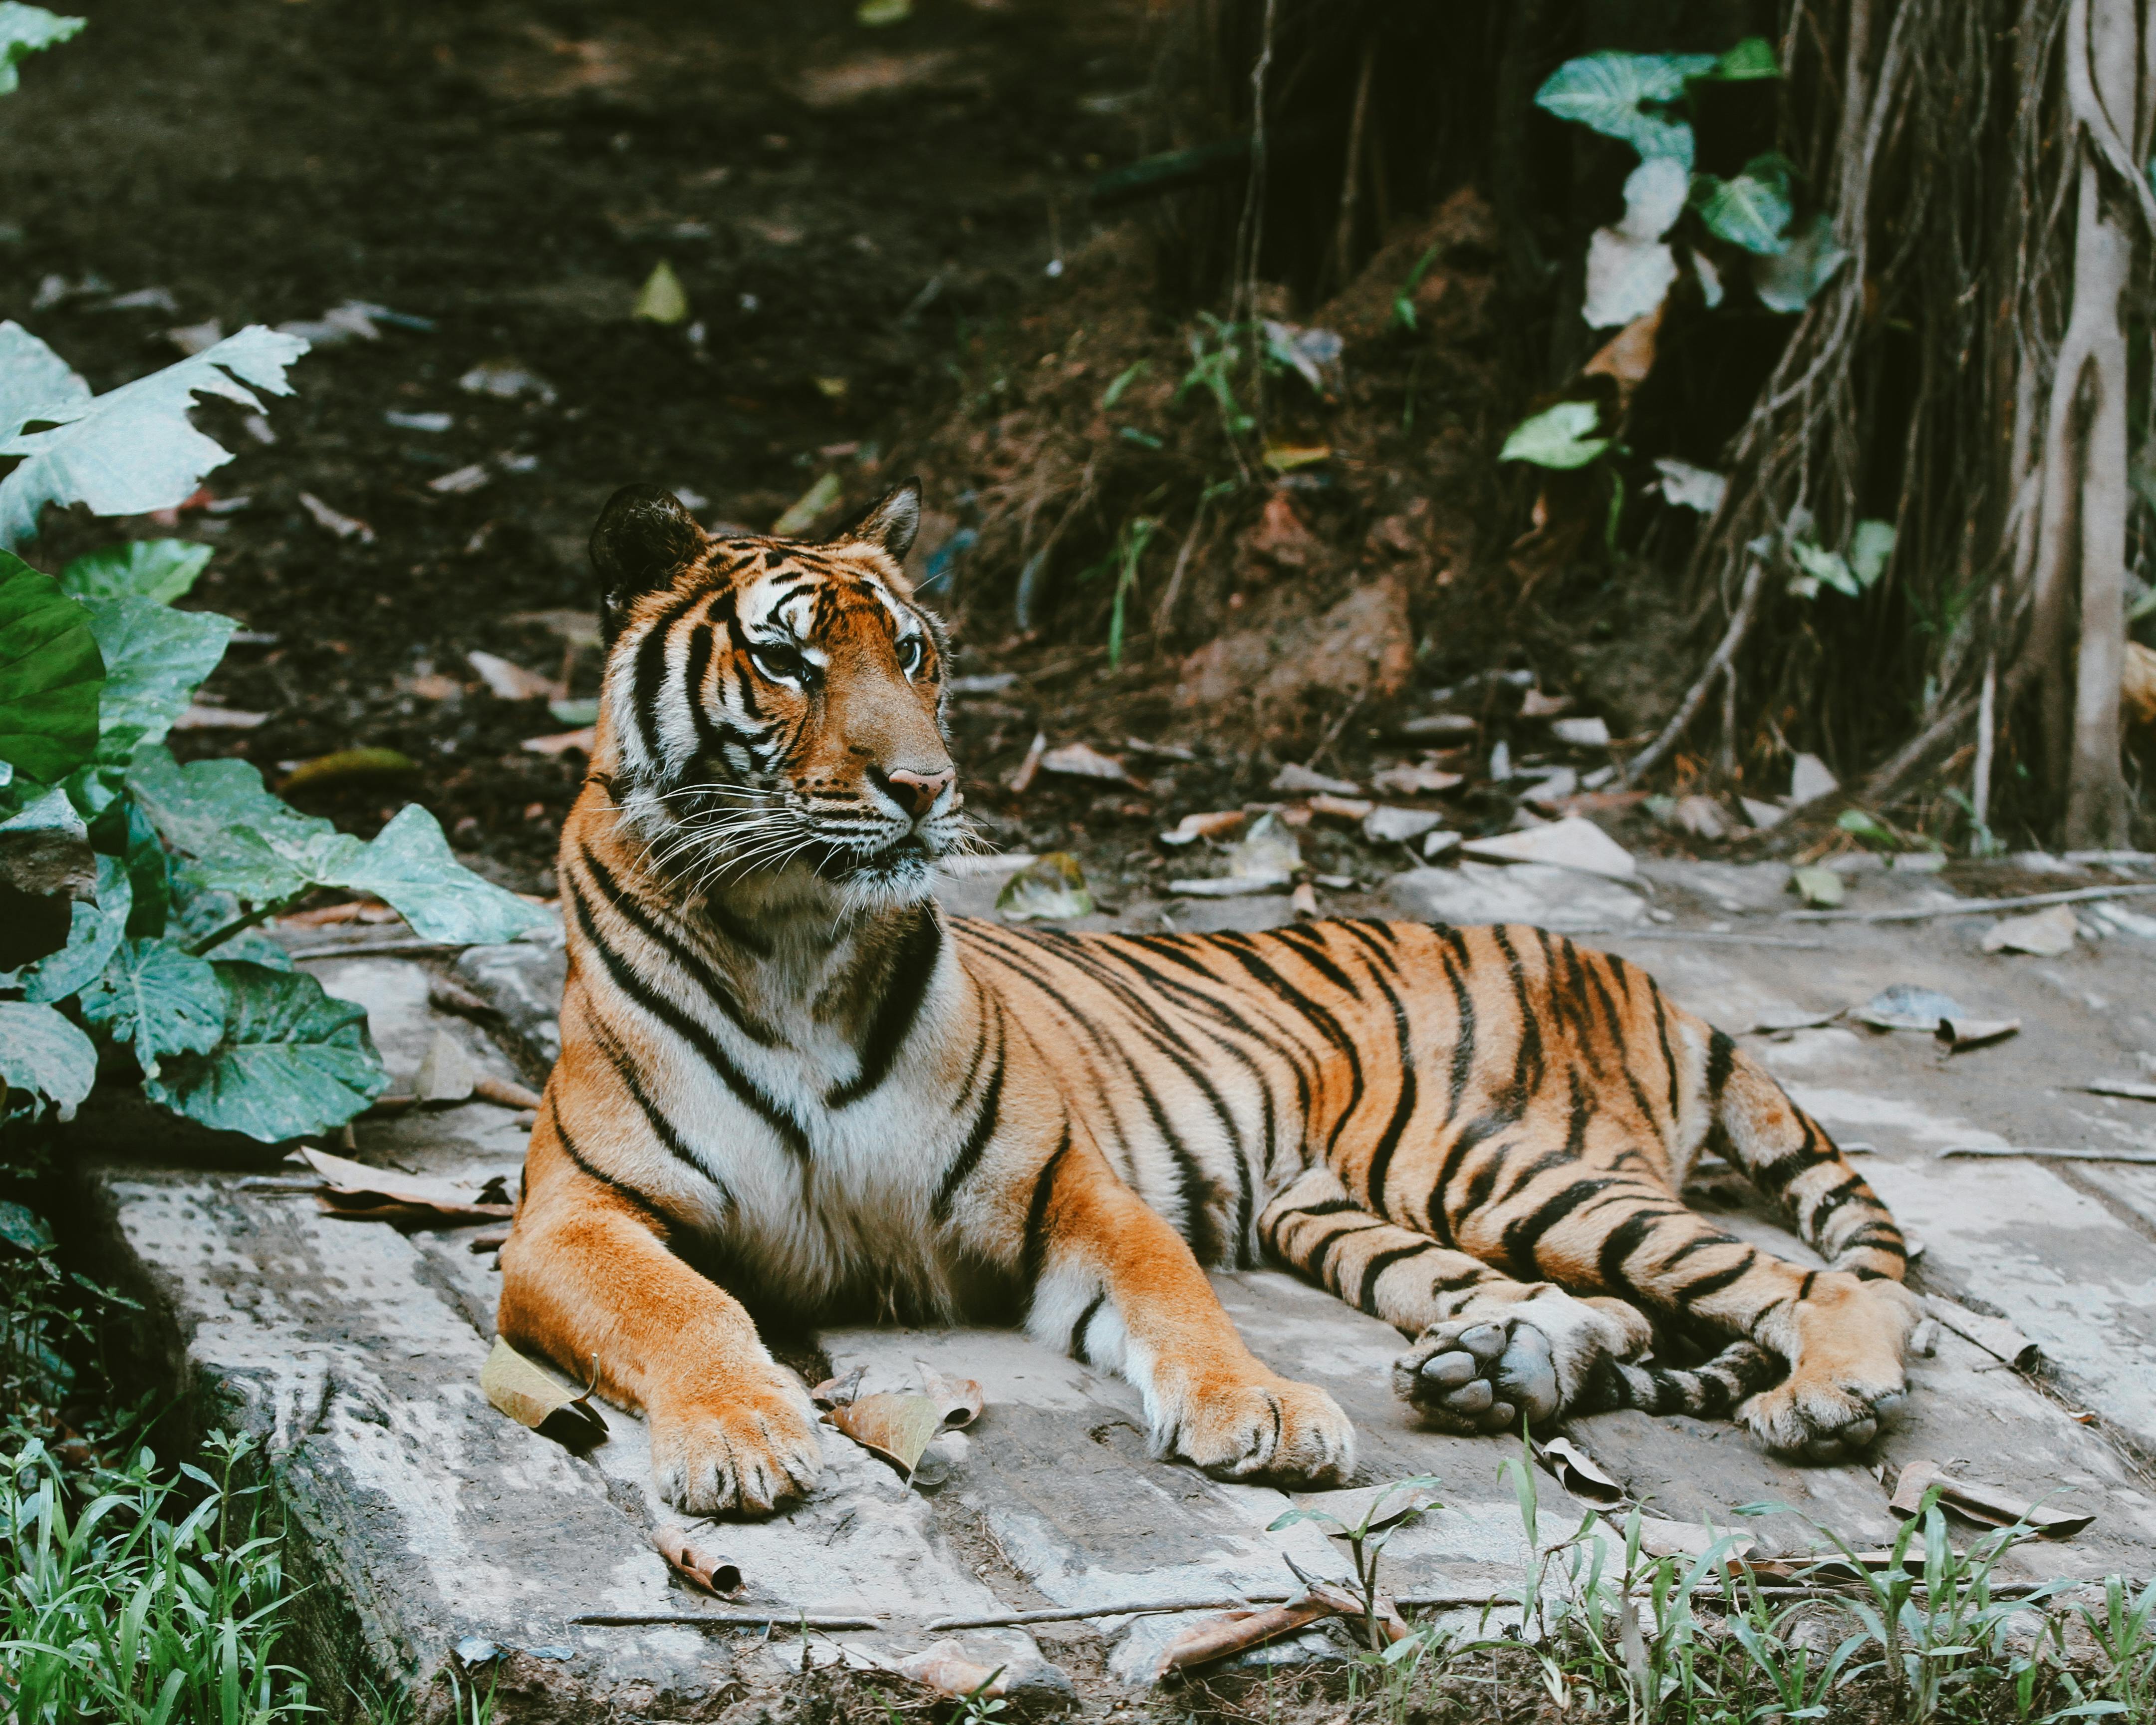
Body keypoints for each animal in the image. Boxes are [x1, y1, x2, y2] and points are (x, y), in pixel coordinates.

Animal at [496, 479, 1921, 1517]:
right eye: (787, 664)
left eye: (910, 653)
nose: (925, 785)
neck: (795, 932)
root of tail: (1621, 963)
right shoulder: (573, 1216)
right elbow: (685, 1308)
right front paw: (740, 1432)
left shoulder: (1065, 1182)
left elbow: (1175, 1290)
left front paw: (1264, 1411)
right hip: (1355, 1211)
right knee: (1623, 1308)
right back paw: (1496, 1367)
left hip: (1492, 1160)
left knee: (1818, 1285)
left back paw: (1825, 1400)